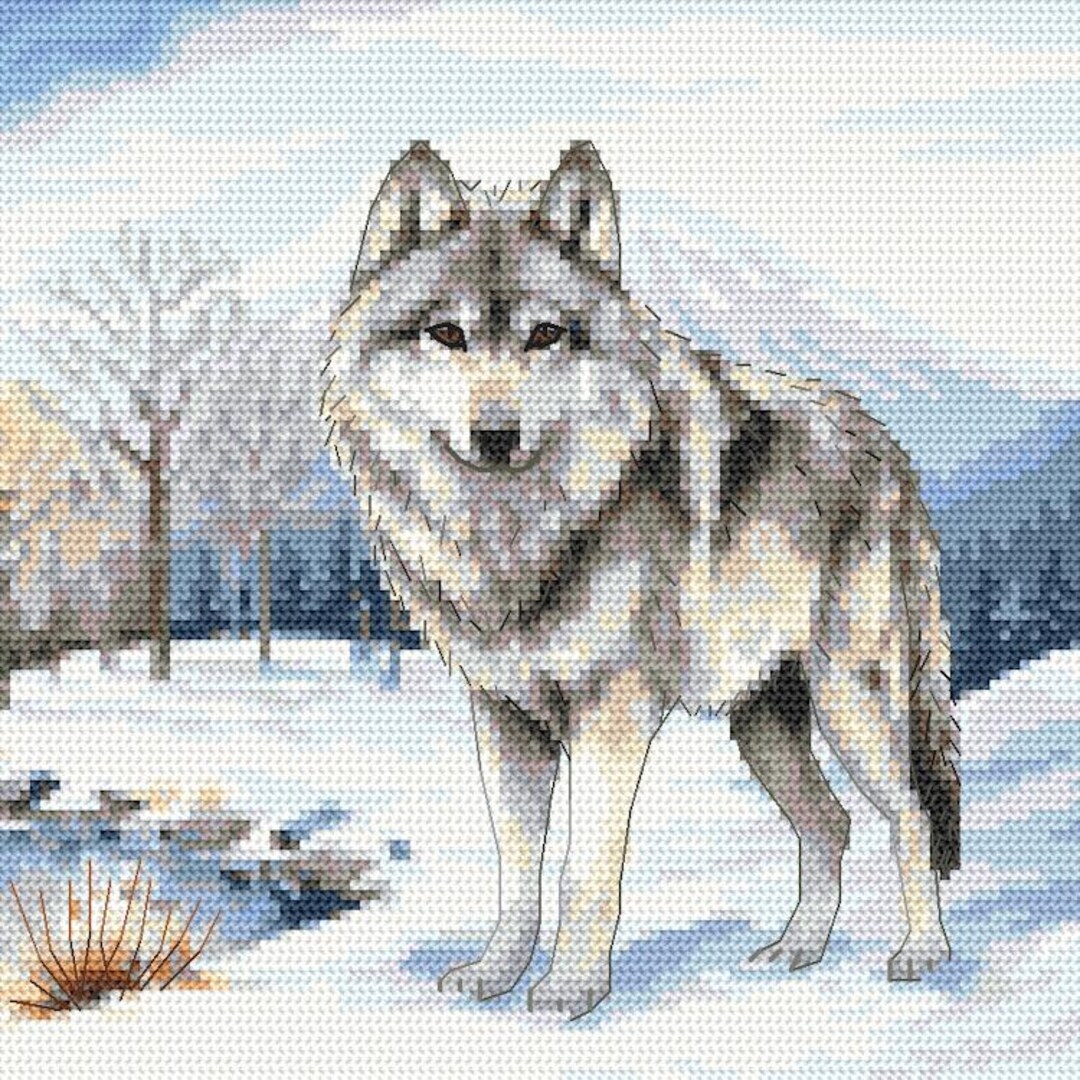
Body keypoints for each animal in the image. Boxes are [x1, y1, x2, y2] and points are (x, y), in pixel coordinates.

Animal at [320, 140, 960, 1019]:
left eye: (545, 335)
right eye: (446, 333)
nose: (495, 435)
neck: (517, 535)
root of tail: (891, 448)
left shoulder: (610, 715)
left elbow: (582, 870)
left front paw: (571, 989)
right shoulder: (504, 717)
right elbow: (517, 871)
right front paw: (495, 974)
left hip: (853, 706)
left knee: (910, 815)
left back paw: (923, 952)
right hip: (761, 723)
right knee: (829, 824)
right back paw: (796, 950)